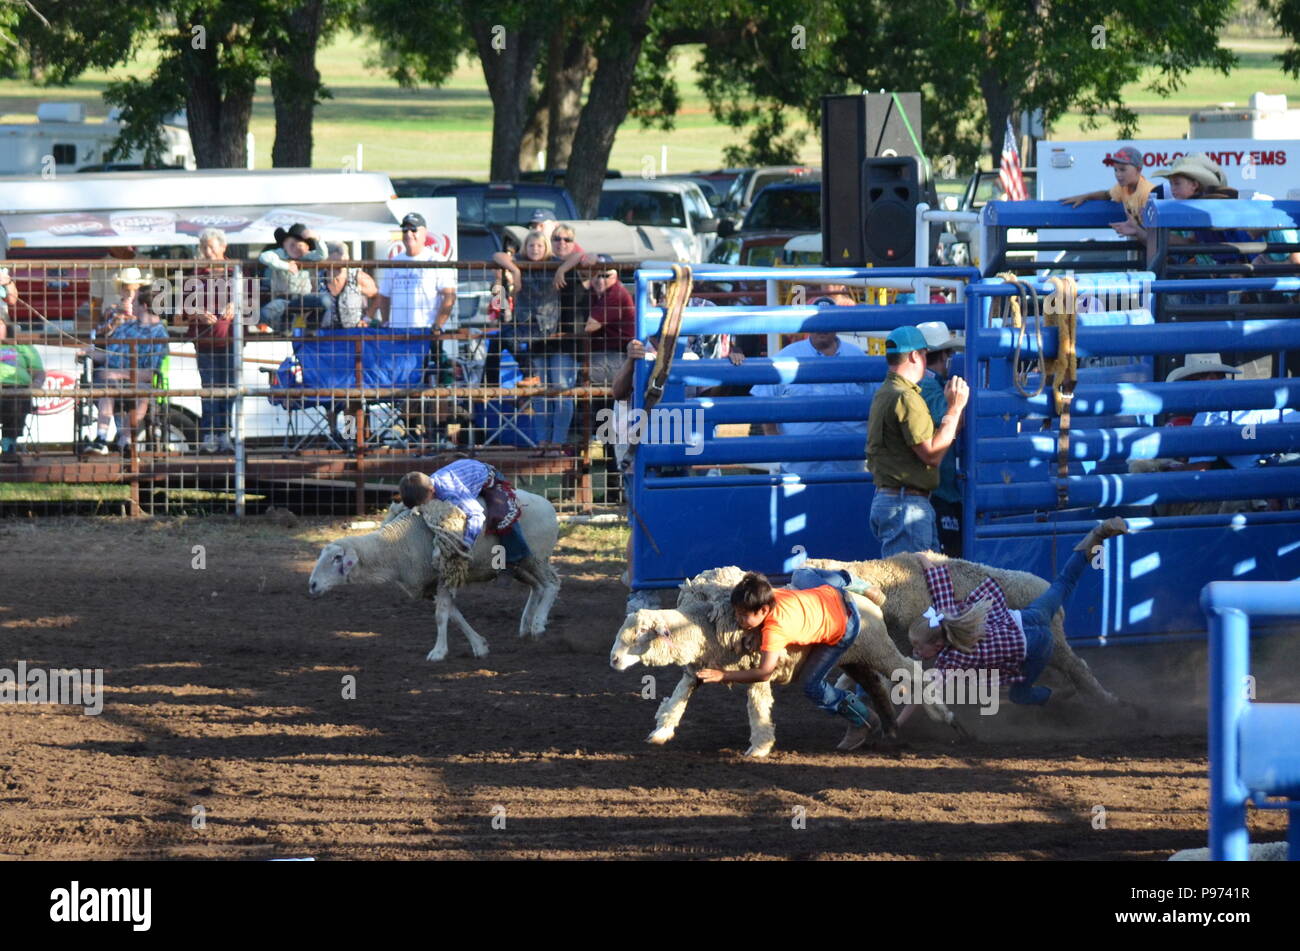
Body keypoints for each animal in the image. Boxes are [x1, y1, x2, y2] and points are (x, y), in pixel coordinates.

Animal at [308, 490, 561, 662]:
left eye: (337, 558)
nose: (312, 585)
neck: (395, 545)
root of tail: (549, 505)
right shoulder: (431, 584)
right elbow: (454, 614)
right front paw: (479, 646)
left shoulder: (444, 576)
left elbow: (441, 616)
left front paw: (438, 652)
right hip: (518, 565)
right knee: (537, 587)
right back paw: (526, 626)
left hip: (535, 556)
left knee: (552, 583)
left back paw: (538, 624)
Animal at [609, 566, 963, 757]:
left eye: (639, 635)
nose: (613, 660)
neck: (702, 624)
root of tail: (864, 601)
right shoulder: (696, 669)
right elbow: (677, 700)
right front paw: (661, 732)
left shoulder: (758, 668)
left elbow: (758, 709)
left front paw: (759, 747)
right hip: (855, 657)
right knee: (873, 686)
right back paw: (878, 729)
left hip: (878, 648)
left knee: (912, 673)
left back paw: (942, 715)